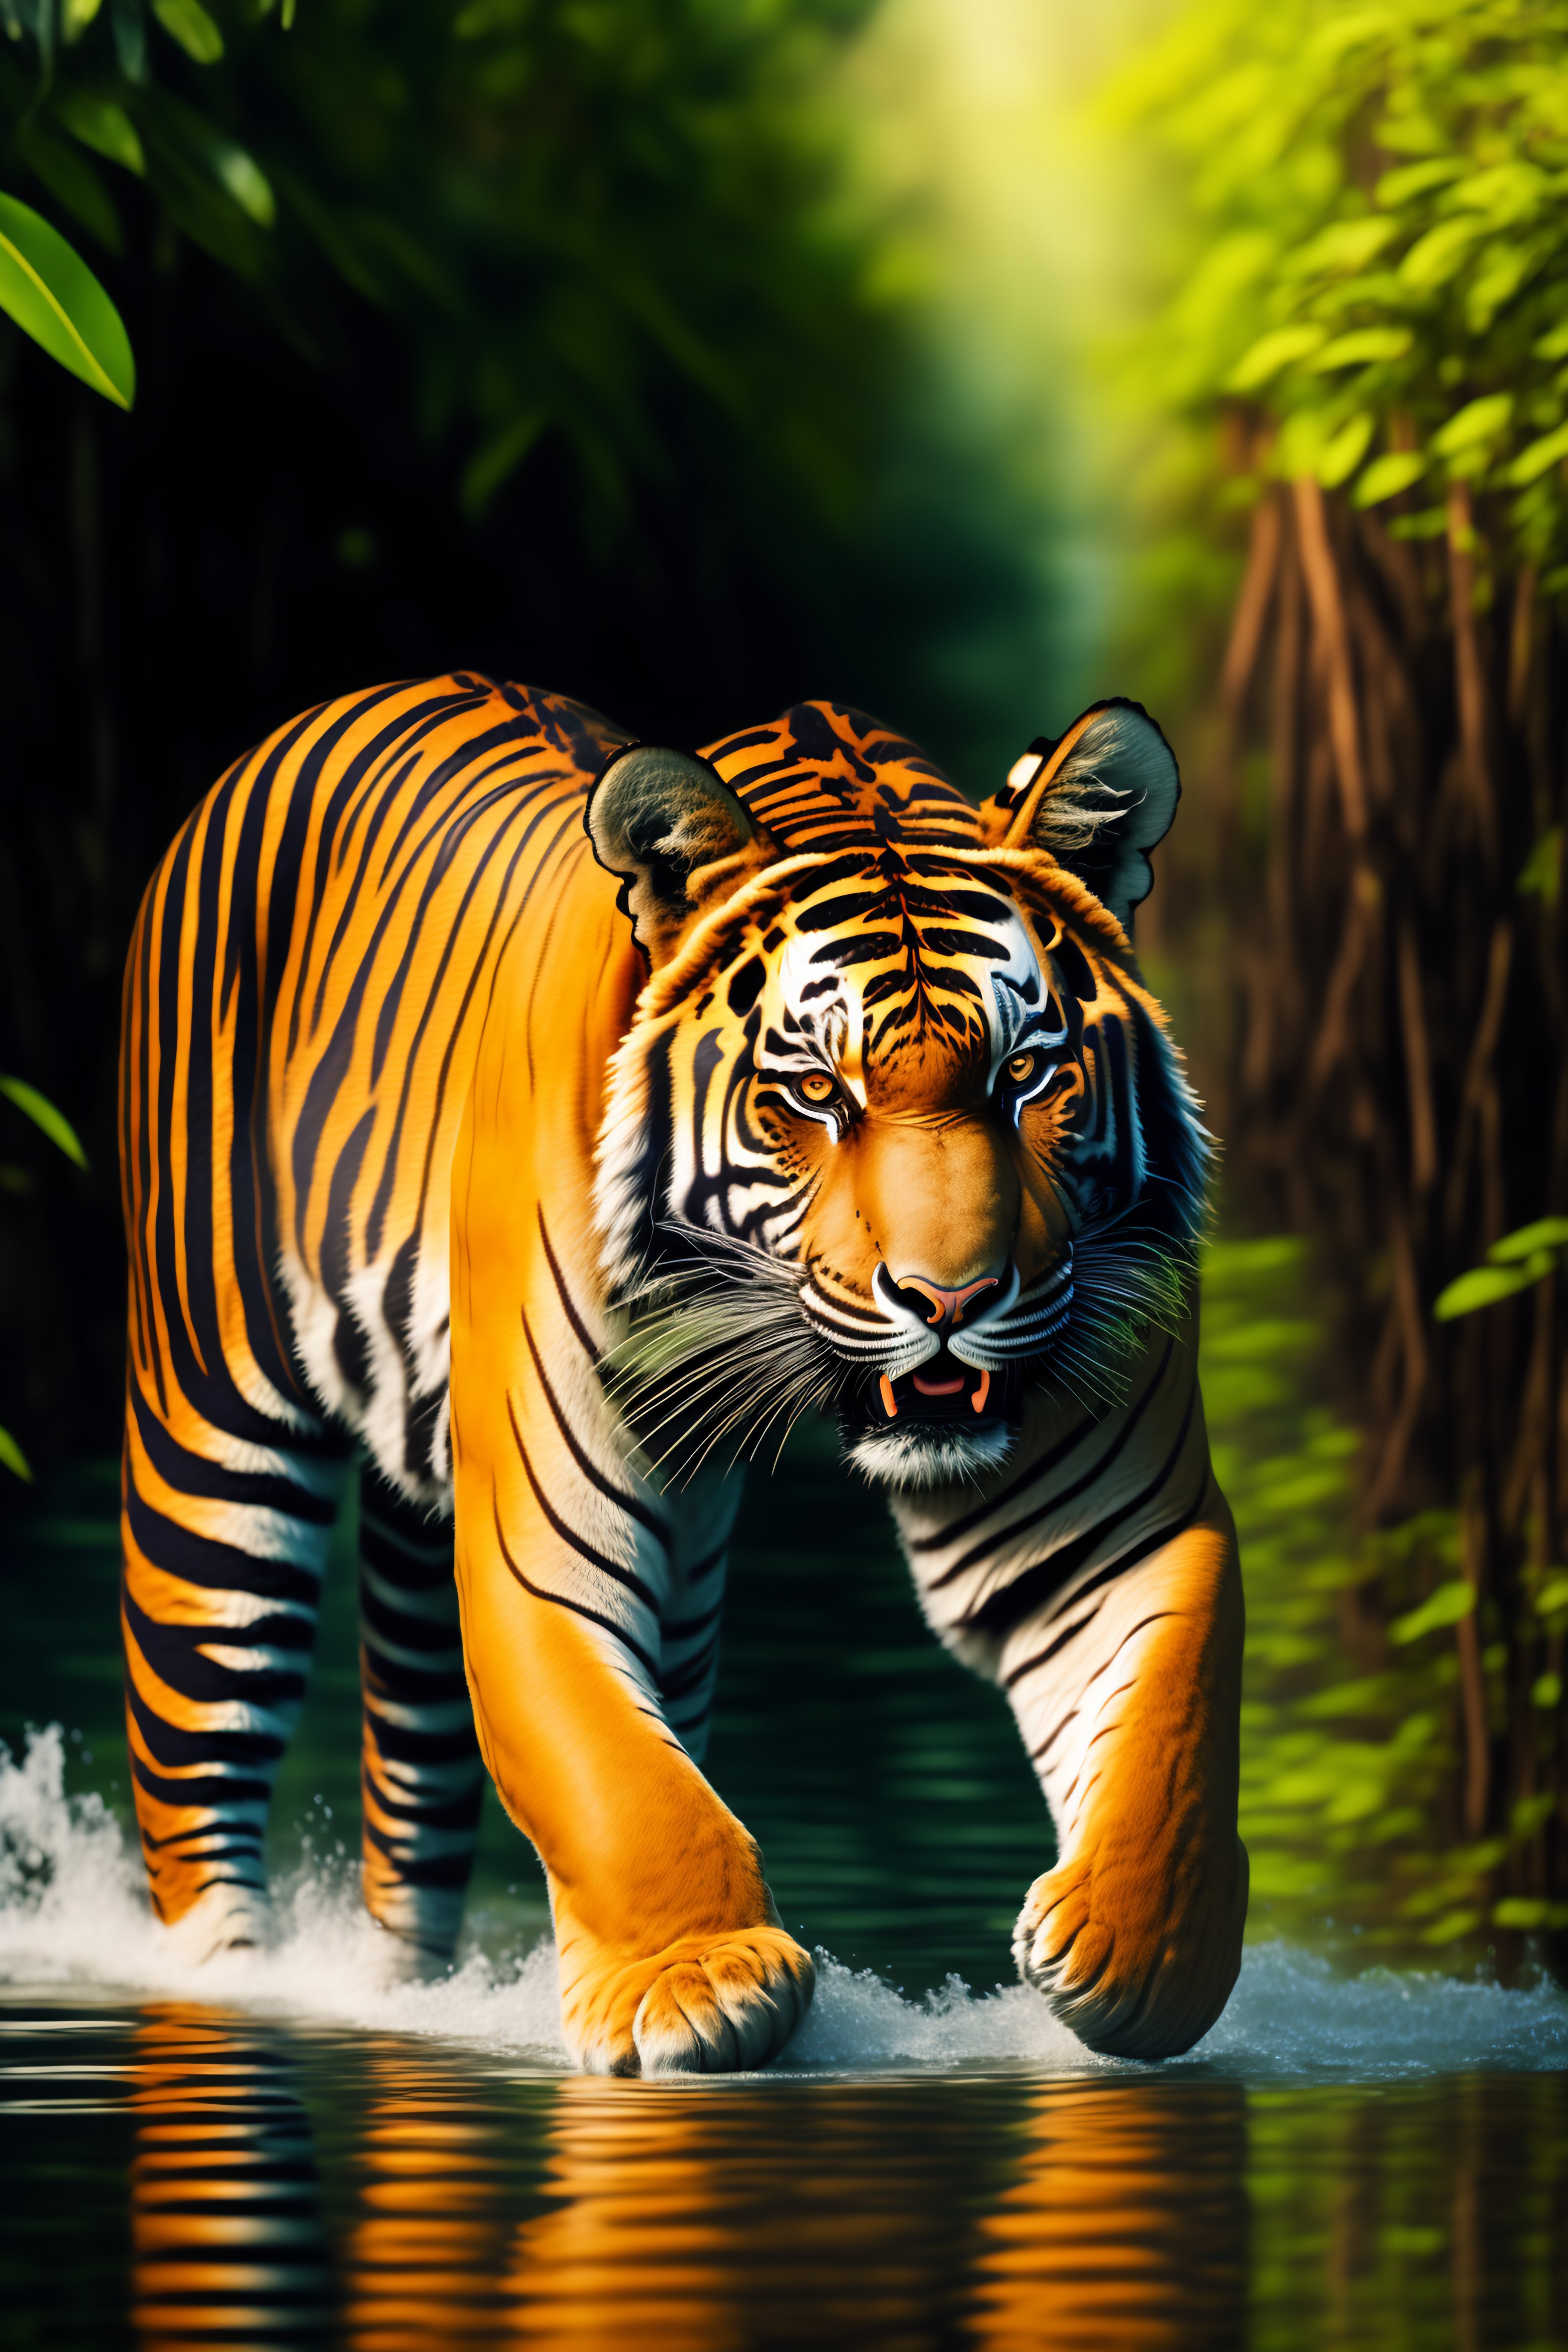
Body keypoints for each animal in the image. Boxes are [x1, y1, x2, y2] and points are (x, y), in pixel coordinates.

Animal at [119, 675, 1247, 2076]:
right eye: (815, 1093)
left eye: (1025, 1075)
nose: (951, 1303)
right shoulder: (545, 1535)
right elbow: (613, 1777)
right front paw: (697, 1982)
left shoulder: (1100, 1523)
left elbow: (1169, 1726)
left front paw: (1132, 1954)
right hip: (210, 1436)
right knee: (198, 1777)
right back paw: (229, 1997)